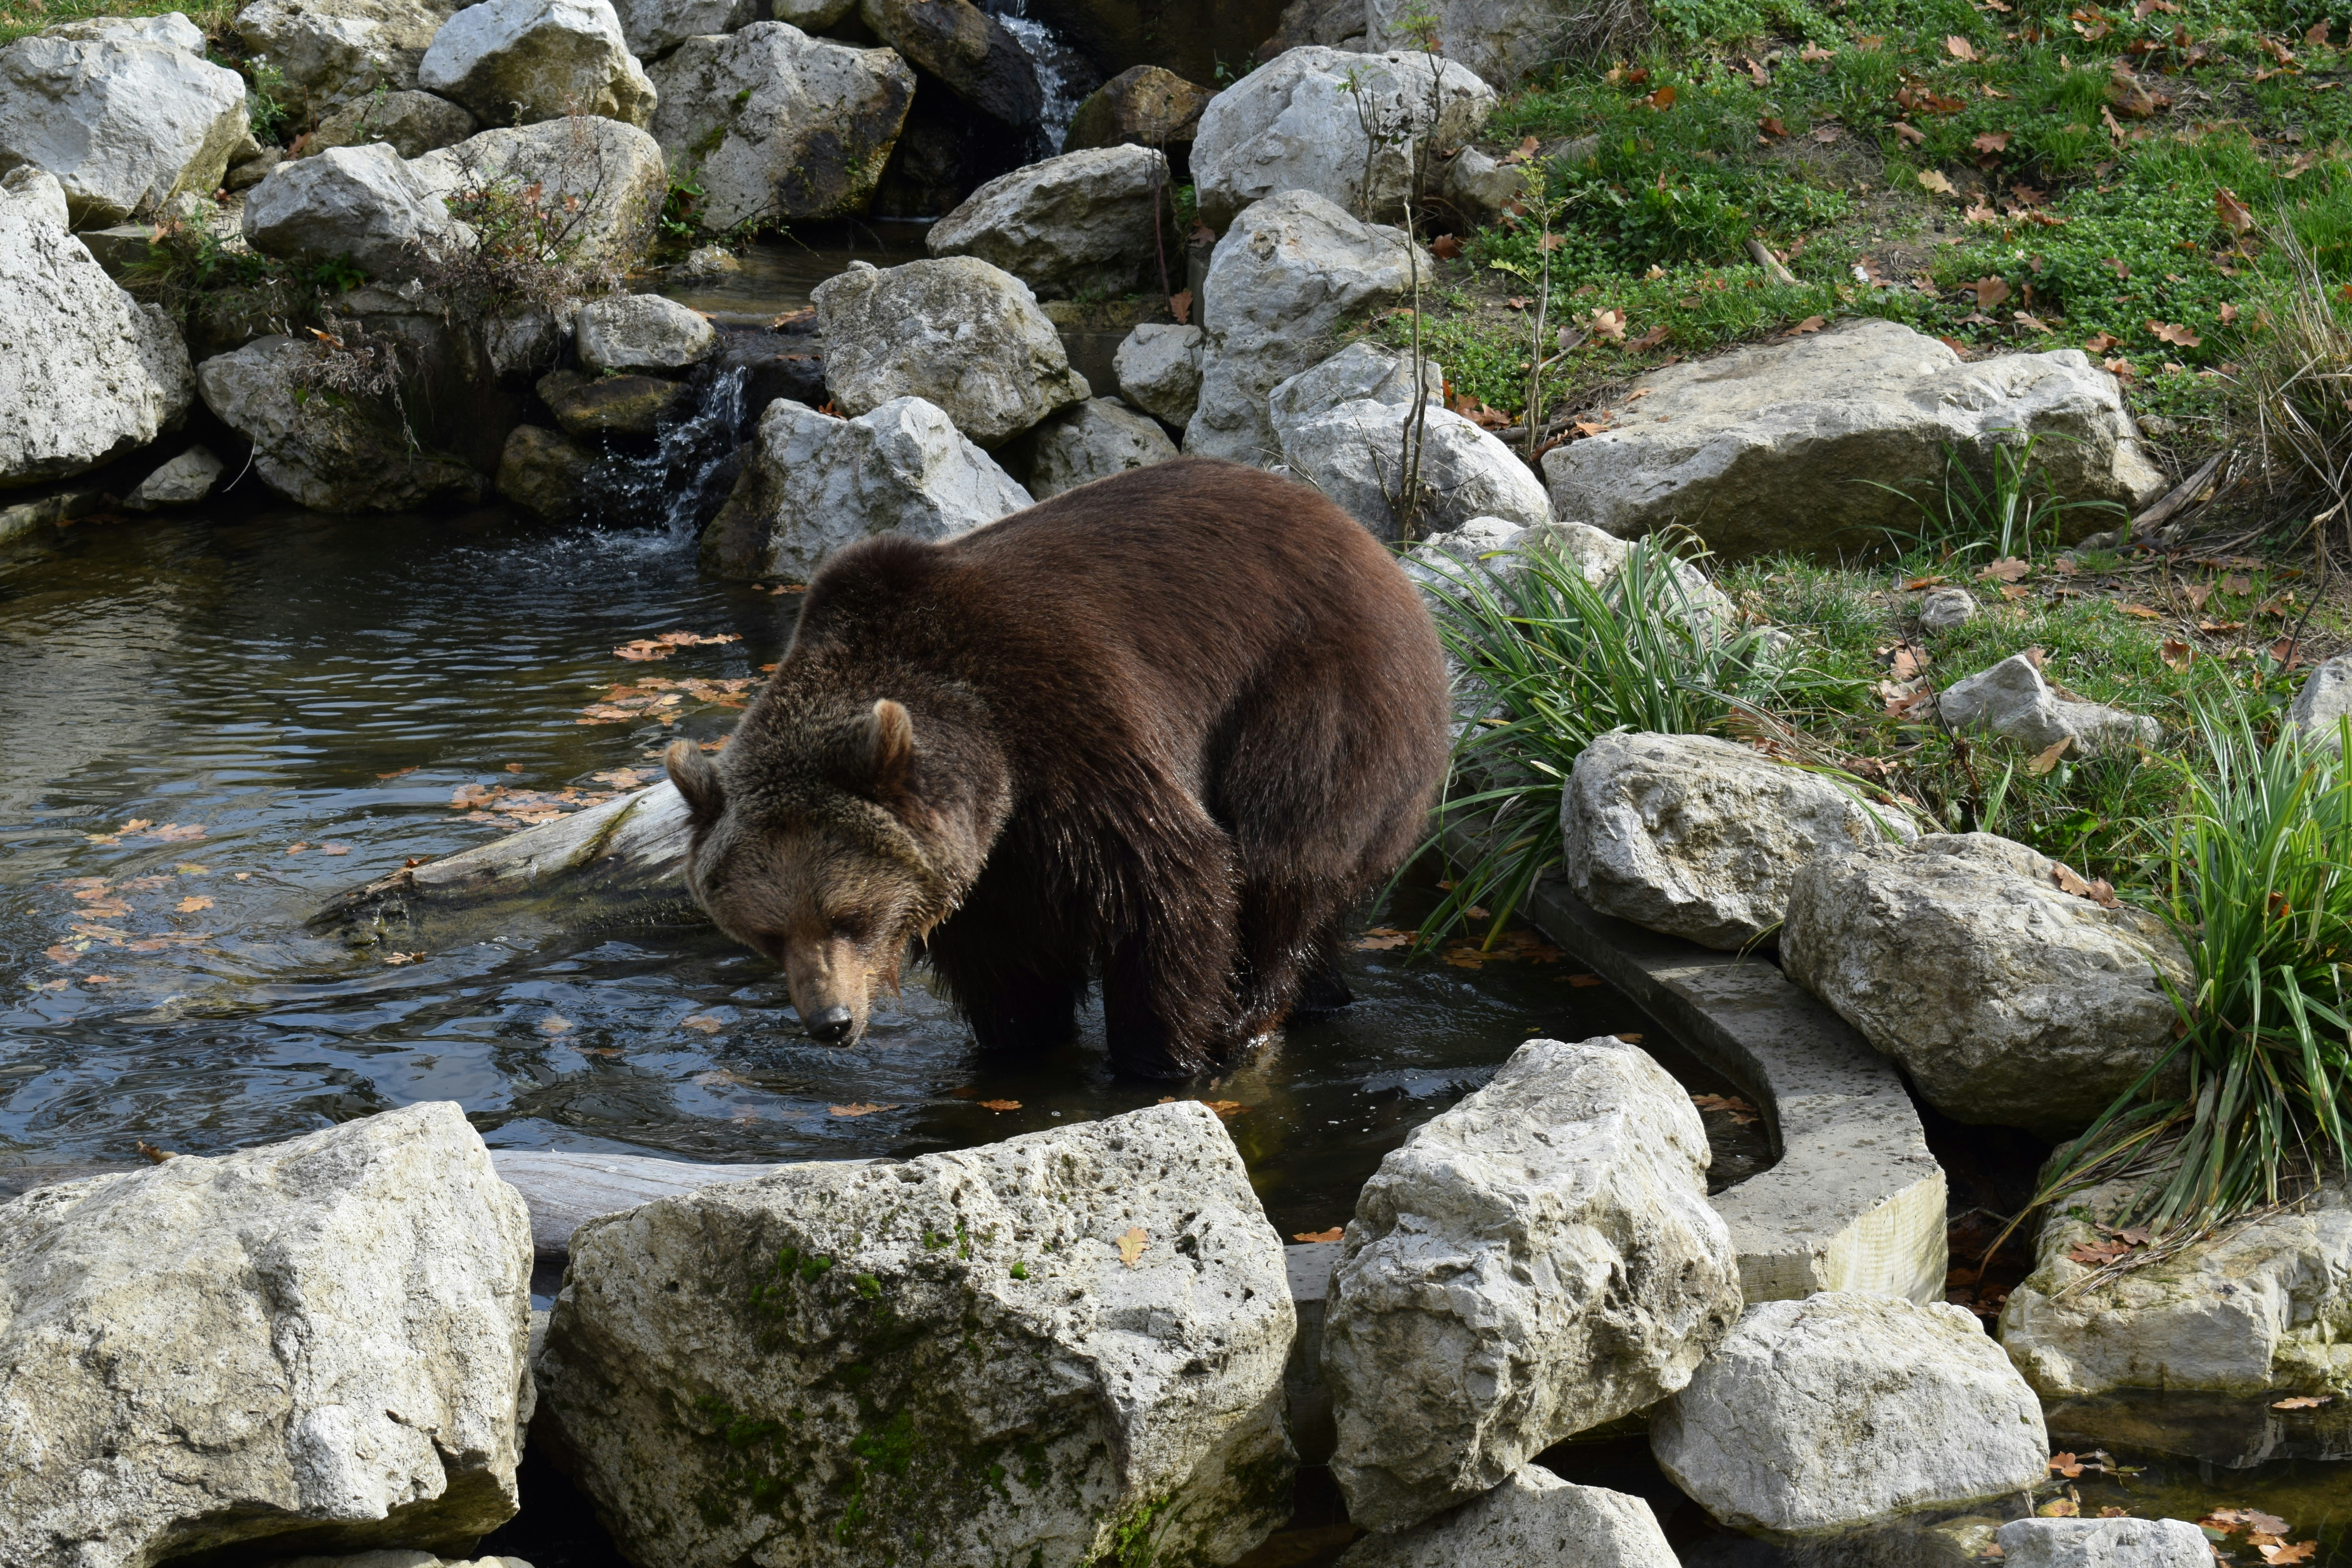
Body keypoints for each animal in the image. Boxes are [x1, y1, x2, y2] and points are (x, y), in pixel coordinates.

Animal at [664, 456, 1450, 1078]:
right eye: (767, 934)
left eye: (848, 918)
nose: (830, 1023)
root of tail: (1367, 540)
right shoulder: (989, 871)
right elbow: (1009, 970)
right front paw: (1020, 1042)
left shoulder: (1072, 726)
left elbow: (1171, 880)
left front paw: (1162, 1056)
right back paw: (1322, 998)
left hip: (1316, 698)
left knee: (1284, 863)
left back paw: (1249, 1020)